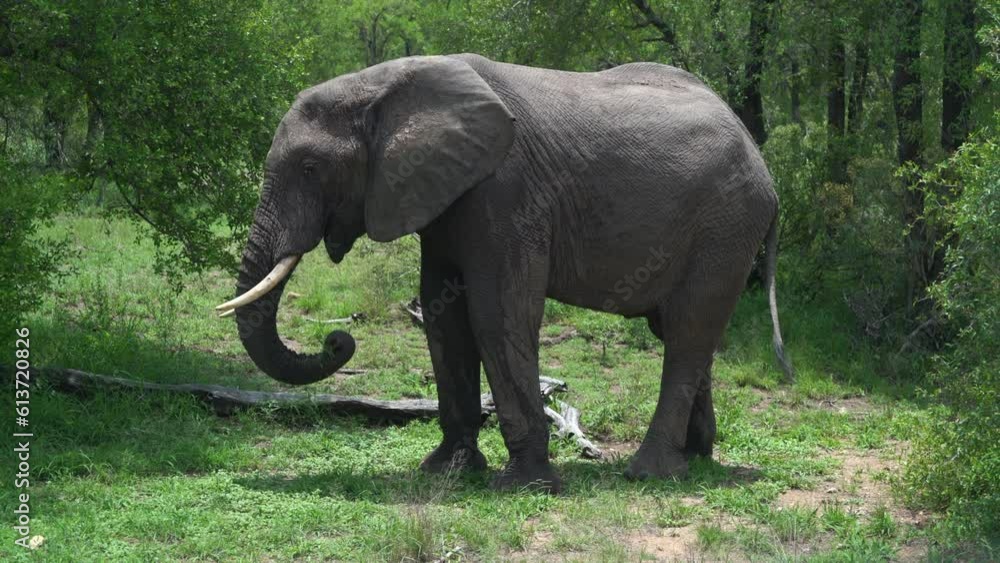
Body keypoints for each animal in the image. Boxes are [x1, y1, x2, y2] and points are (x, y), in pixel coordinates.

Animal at [216, 53, 793, 493]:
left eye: (311, 168)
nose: (339, 340)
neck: (383, 83)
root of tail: (762, 161)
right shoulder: (442, 196)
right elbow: (443, 316)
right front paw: (445, 471)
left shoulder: (506, 194)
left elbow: (497, 316)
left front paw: (524, 485)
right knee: (682, 331)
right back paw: (696, 459)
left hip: (726, 224)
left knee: (689, 332)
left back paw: (650, 474)